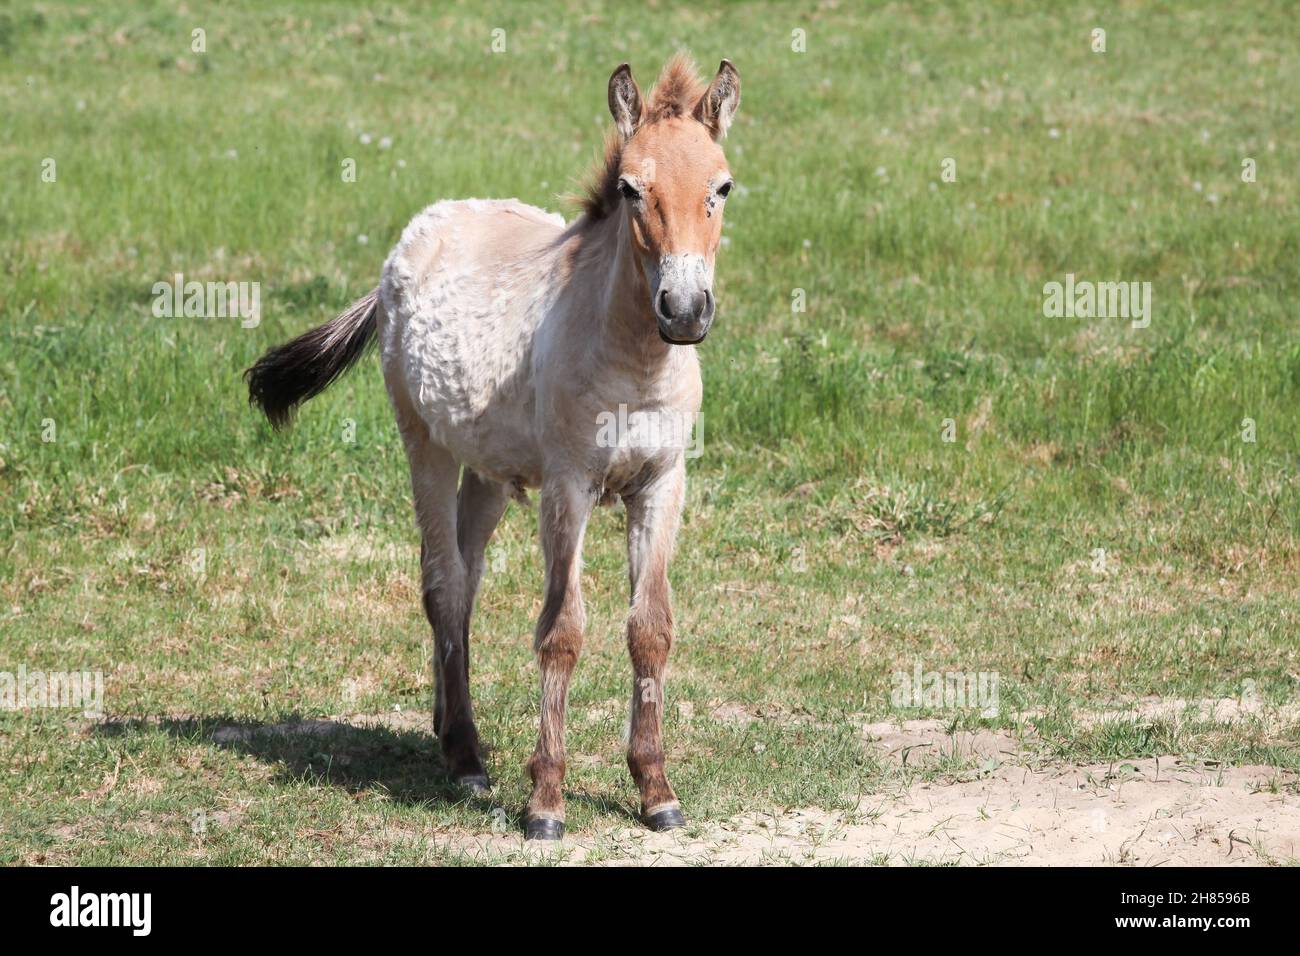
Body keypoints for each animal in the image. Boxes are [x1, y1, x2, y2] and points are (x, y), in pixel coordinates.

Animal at [246, 54, 740, 840]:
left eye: (722, 188)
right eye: (631, 189)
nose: (685, 311)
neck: (633, 361)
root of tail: (416, 234)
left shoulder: (662, 483)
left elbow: (651, 629)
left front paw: (656, 790)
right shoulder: (569, 487)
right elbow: (561, 631)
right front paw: (546, 803)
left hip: (487, 470)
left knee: (466, 580)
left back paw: (448, 724)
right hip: (425, 445)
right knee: (443, 582)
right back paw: (467, 757)